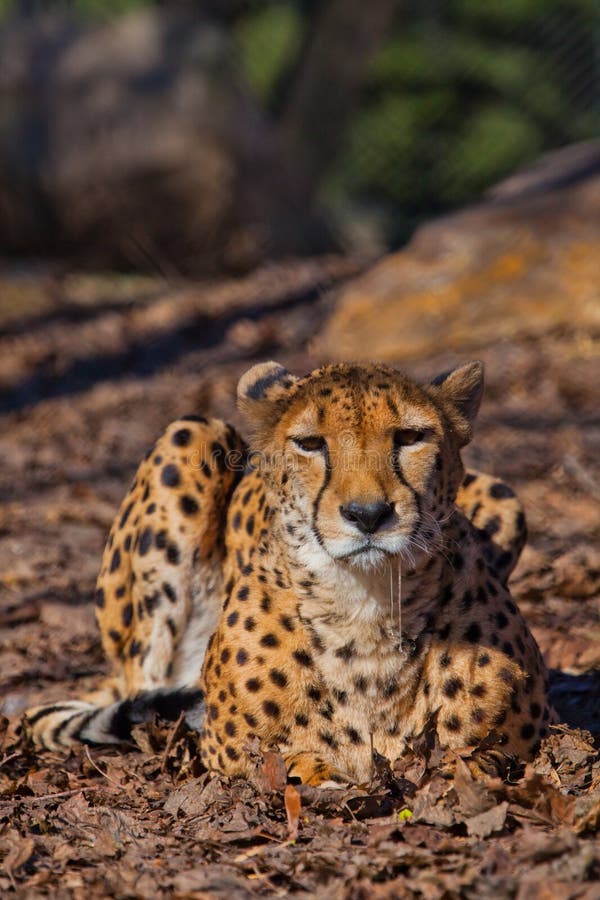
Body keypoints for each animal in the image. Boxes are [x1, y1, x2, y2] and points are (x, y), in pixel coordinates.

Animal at [25, 359, 553, 785]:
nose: (368, 514)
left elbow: (476, 757)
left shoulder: (521, 743)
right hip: (193, 432)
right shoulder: (223, 745)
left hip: (504, 496)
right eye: (310, 444)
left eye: (409, 437)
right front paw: (321, 772)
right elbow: (281, 757)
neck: (367, 609)